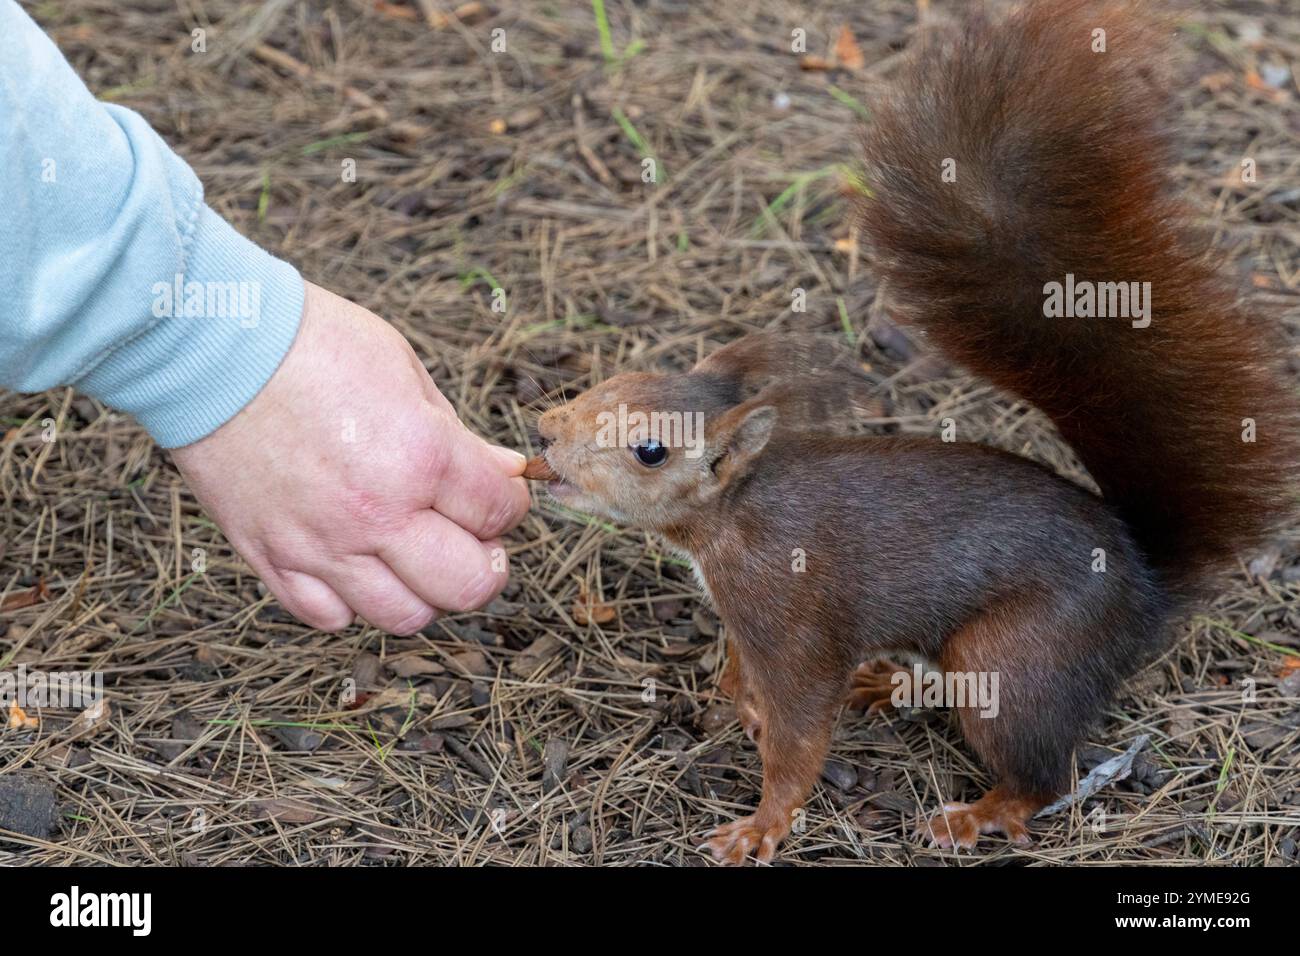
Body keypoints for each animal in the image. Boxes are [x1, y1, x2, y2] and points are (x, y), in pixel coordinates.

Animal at [525, 0, 1299, 864]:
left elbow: (799, 730)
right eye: (609, 382)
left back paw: (979, 814)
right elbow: (739, 670)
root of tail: (1146, 585)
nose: (546, 432)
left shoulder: (794, 617)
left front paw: (763, 823)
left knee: (1044, 774)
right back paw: (892, 682)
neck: (729, 522)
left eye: (650, 451)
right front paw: (737, 700)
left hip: (1014, 656)